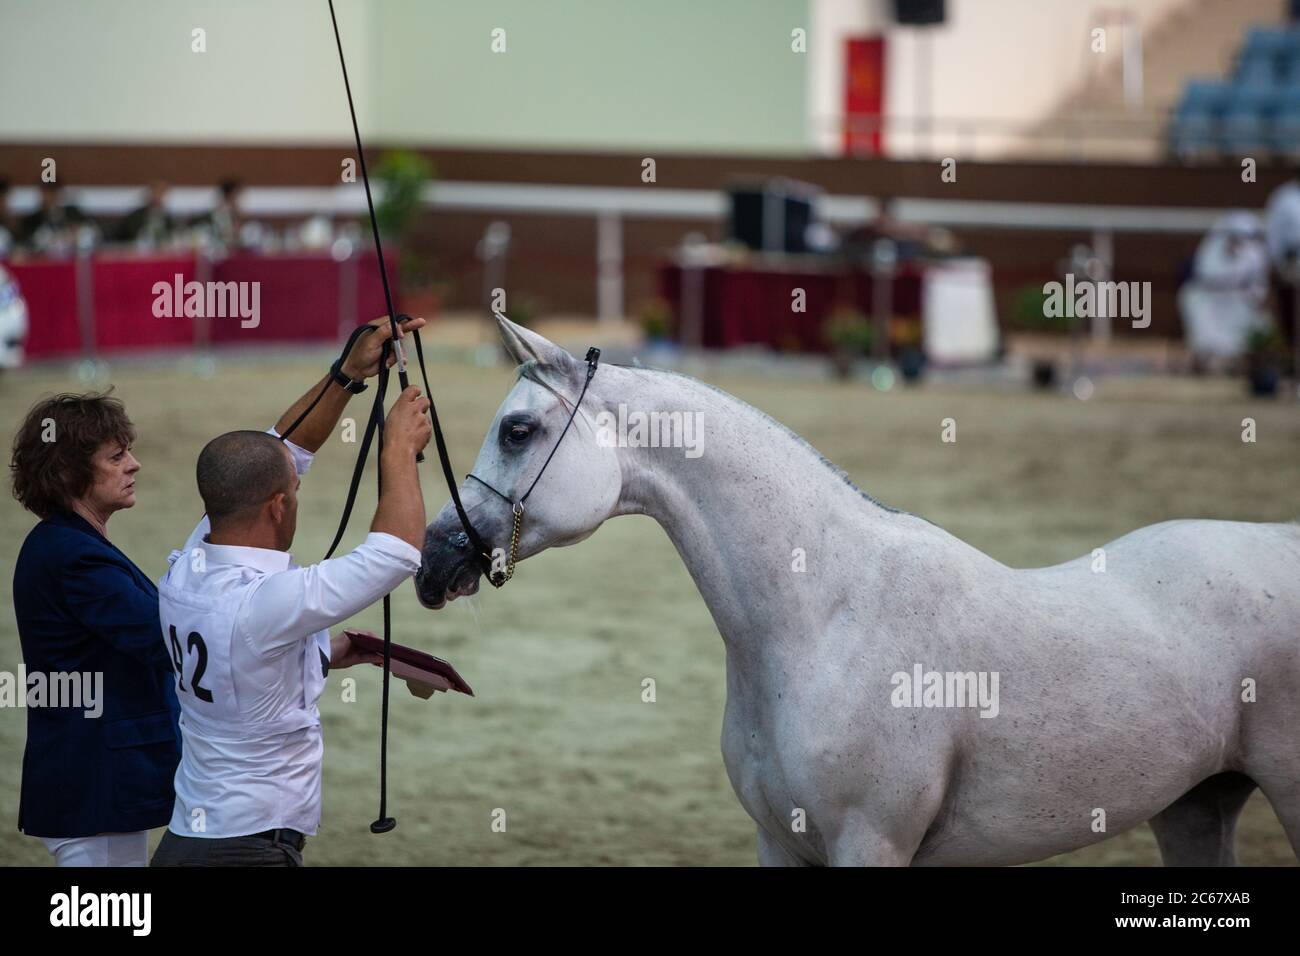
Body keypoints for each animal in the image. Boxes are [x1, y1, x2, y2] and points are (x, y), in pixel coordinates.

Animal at [415, 314, 1300, 866]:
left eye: (518, 429)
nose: (432, 560)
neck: (826, 618)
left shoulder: (869, 844)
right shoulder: (779, 844)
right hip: (1195, 807)